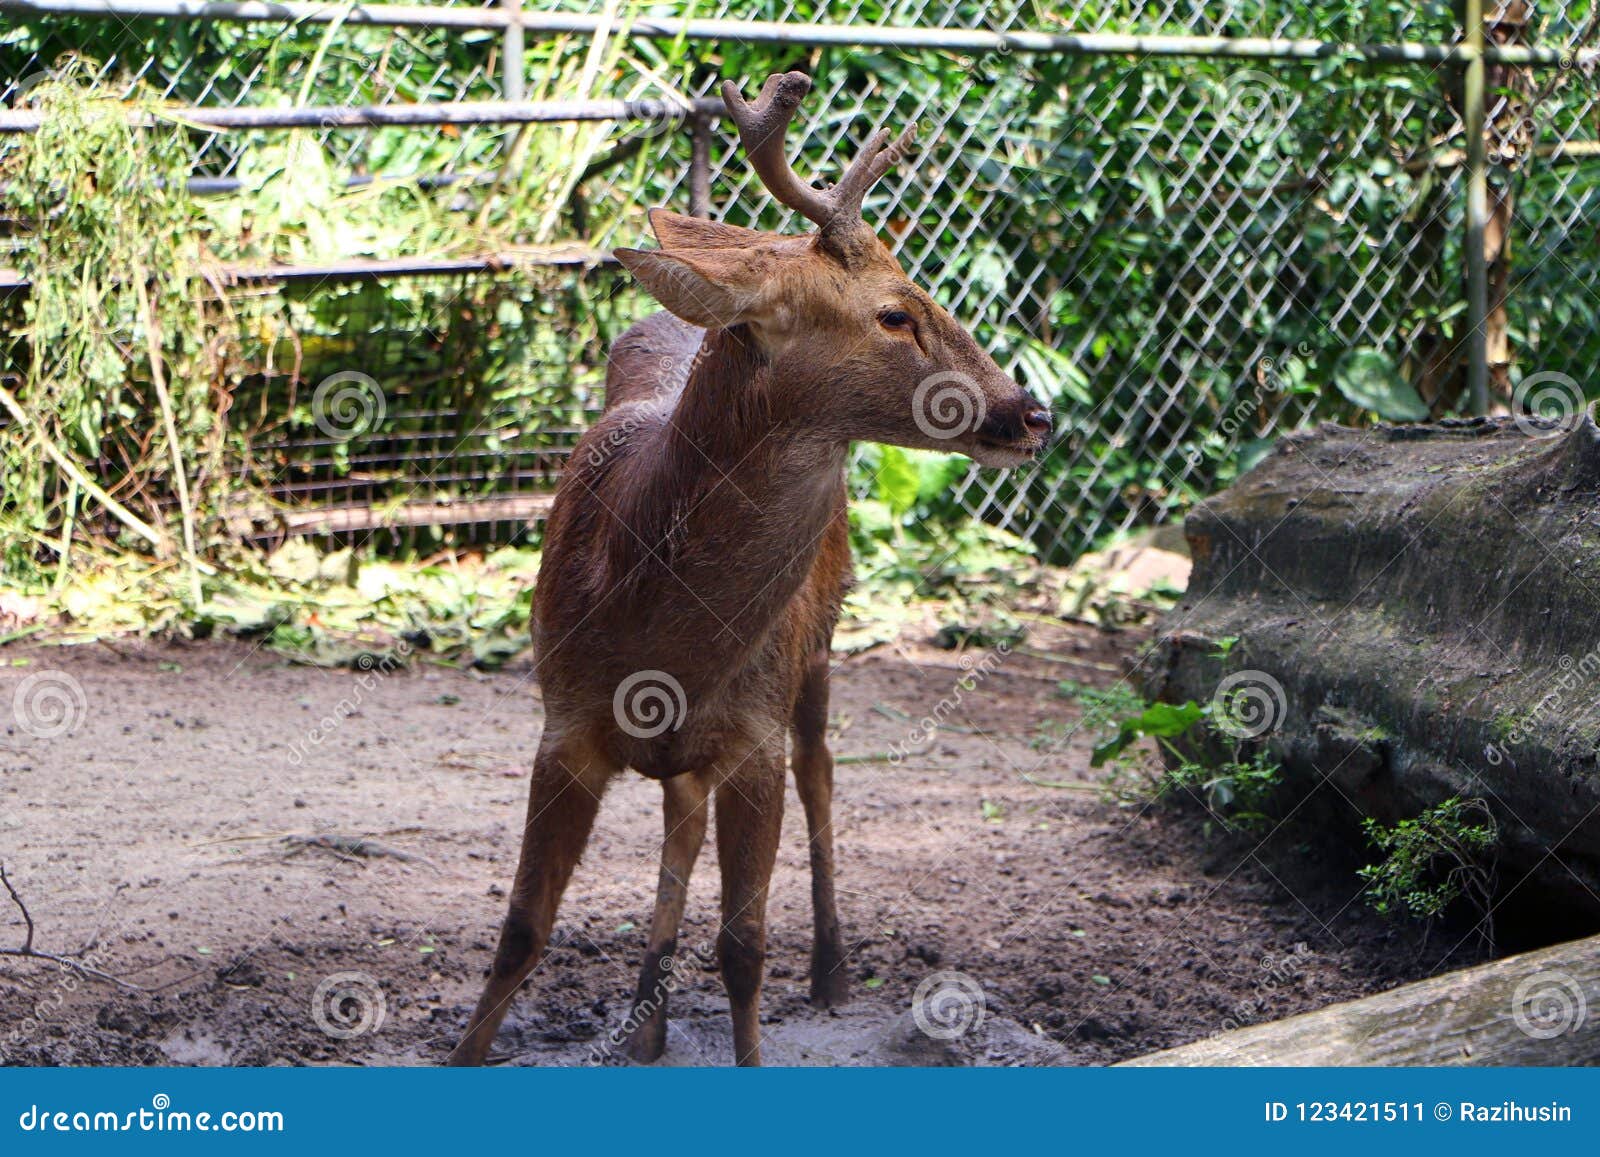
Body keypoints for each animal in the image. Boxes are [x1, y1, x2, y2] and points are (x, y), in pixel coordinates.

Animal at [449, 71, 1051, 1067]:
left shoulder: (753, 732)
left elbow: (744, 946)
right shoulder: (563, 718)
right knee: (681, 816)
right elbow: (520, 932)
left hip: (819, 643)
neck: (655, 627)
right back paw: (647, 1021)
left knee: (822, 774)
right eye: (896, 311)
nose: (1031, 413)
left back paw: (831, 970)